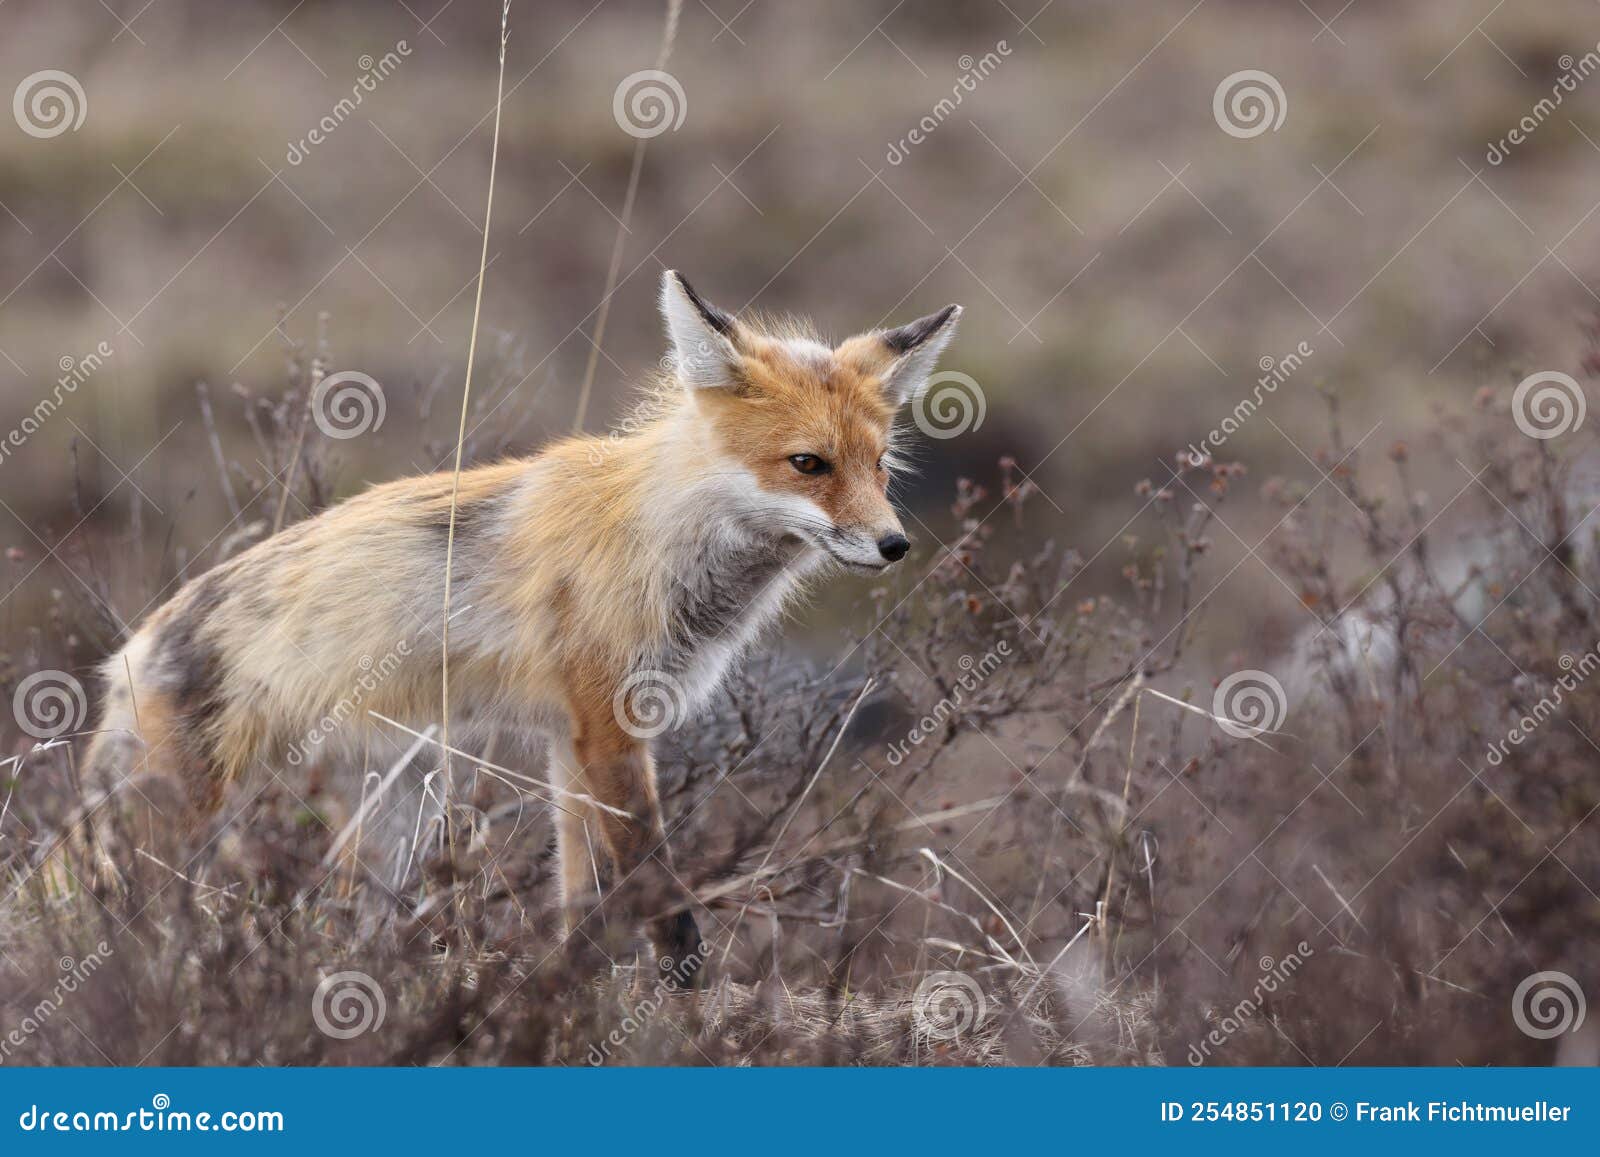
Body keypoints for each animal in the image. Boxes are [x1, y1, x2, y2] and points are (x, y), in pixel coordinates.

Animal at [83, 270, 961, 974]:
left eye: (880, 465)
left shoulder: (571, 744)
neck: (660, 539)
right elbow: (658, 891)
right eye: (808, 464)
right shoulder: (608, 728)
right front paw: (678, 993)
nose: (894, 545)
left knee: (338, 919)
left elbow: (580, 900)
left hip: (399, 810)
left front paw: (564, 998)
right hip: (198, 820)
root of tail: (124, 653)